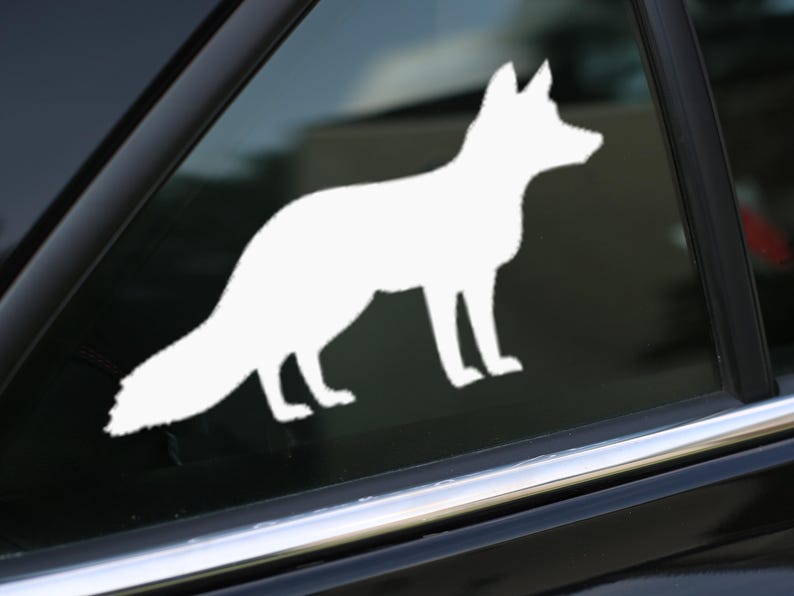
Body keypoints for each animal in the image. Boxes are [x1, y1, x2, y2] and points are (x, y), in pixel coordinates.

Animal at [105, 59, 603, 436]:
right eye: (551, 123)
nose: (597, 140)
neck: (484, 189)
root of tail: (267, 227)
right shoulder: (441, 285)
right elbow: (450, 340)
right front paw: (463, 377)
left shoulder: (480, 280)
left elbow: (484, 332)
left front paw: (494, 368)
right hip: (332, 307)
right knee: (271, 356)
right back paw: (289, 411)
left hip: (337, 309)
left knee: (298, 353)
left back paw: (322, 400)